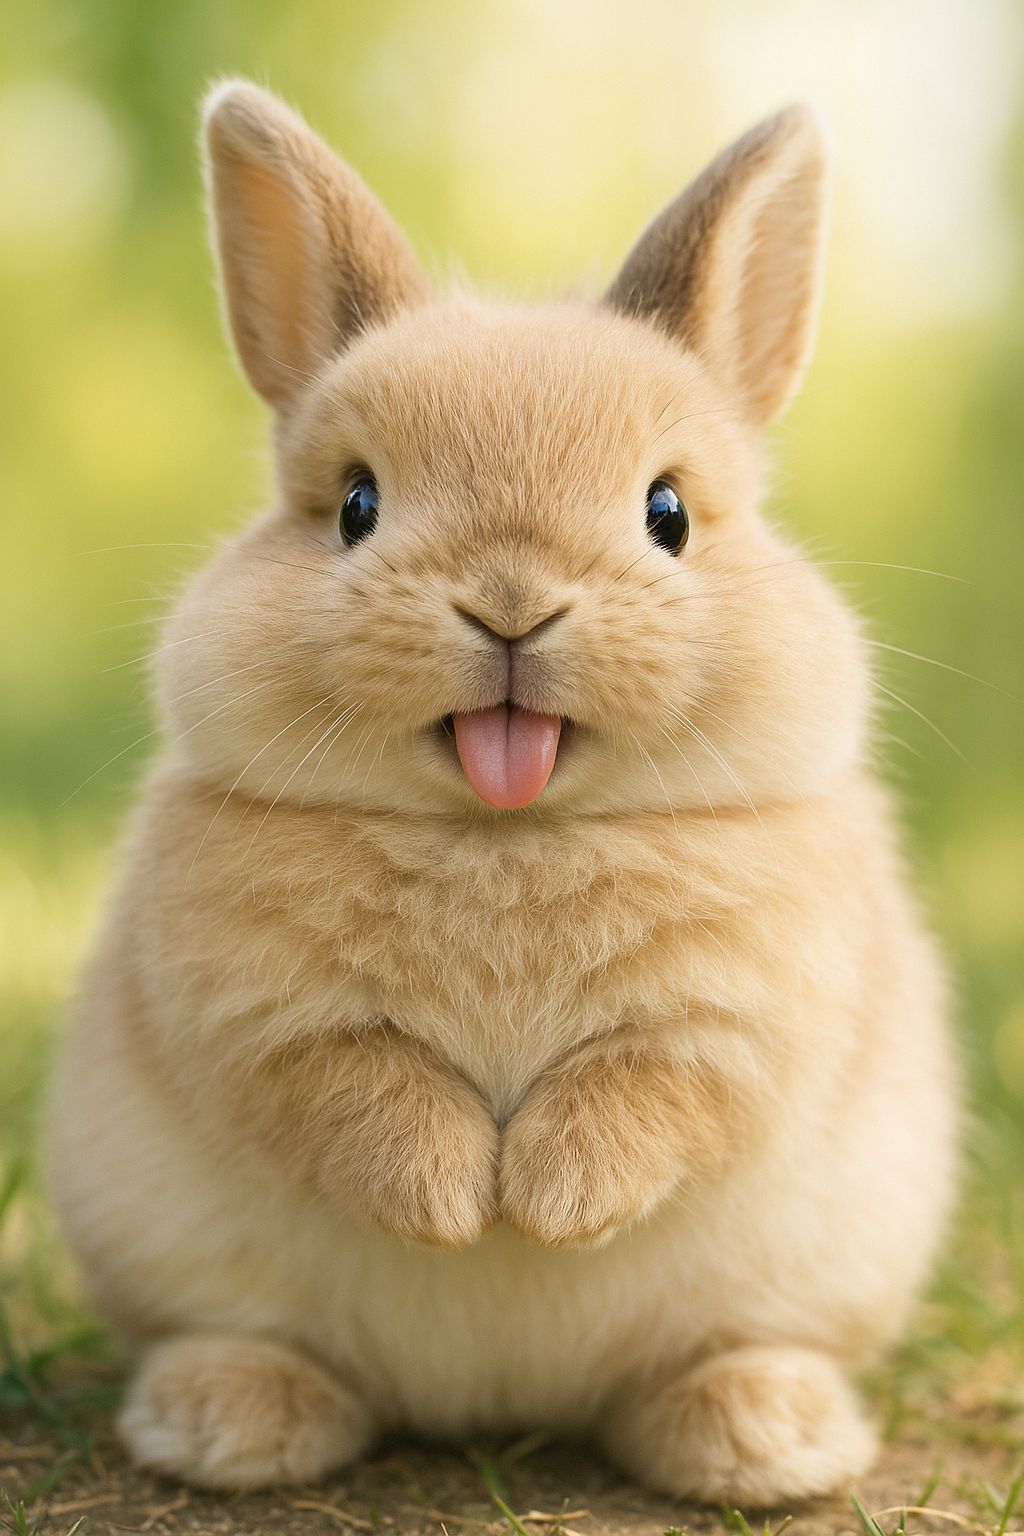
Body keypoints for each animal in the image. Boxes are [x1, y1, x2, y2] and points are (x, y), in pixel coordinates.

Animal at [47, 80, 958, 1507]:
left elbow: (646, 1096)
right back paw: (227, 1422)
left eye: (666, 514)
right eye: (357, 505)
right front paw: (455, 1207)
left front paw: (545, 1205)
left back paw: (762, 1438)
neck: (505, 833)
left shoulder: (739, 1022)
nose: (511, 601)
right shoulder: (262, 1017)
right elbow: (360, 1091)